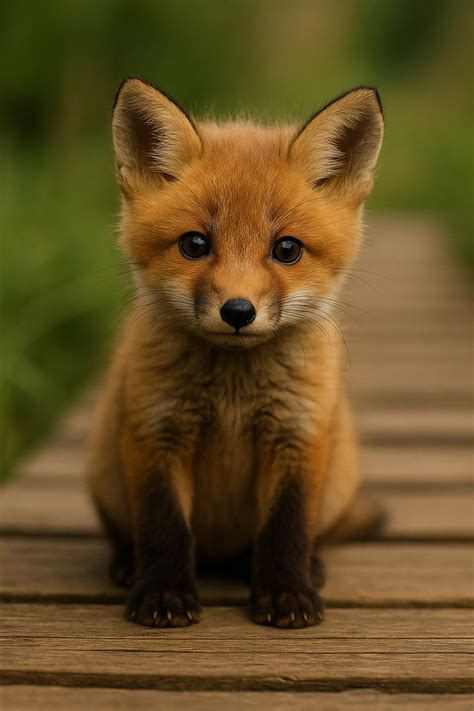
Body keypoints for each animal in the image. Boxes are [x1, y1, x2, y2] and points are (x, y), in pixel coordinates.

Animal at [89, 77, 384, 629]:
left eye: (287, 249)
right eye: (194, 244)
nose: (238, 311)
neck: (233, 395)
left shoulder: (298, 432)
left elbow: (286, 528)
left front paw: (286, 592)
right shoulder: (156, 429)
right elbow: (162, 526)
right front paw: (163, 592)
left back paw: (309, 566)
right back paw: (126, 563)